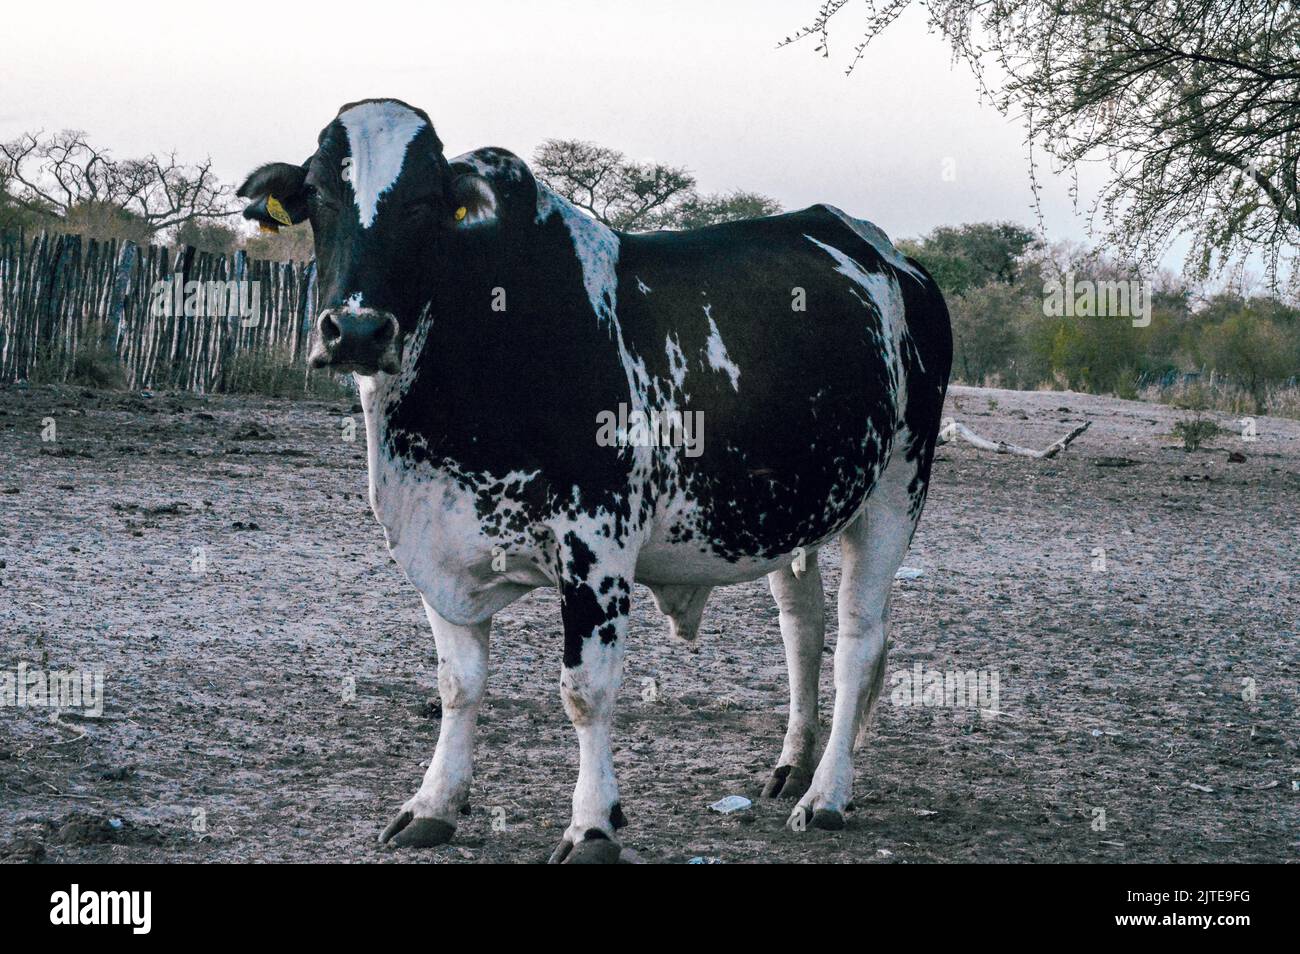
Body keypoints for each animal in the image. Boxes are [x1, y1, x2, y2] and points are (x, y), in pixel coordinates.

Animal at [238, 98, 952, 863]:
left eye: (423, 203)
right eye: (319, 195)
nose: (358, 330)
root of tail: (891, 254)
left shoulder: (598, 547)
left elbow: (585, 692)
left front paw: (591, 824)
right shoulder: (439, 546)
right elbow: (458, 685)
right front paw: (433, 804)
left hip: (895, 493)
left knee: (858, 642)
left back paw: (826, 795)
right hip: (793, 511)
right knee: (803, 630)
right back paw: (792, 765)